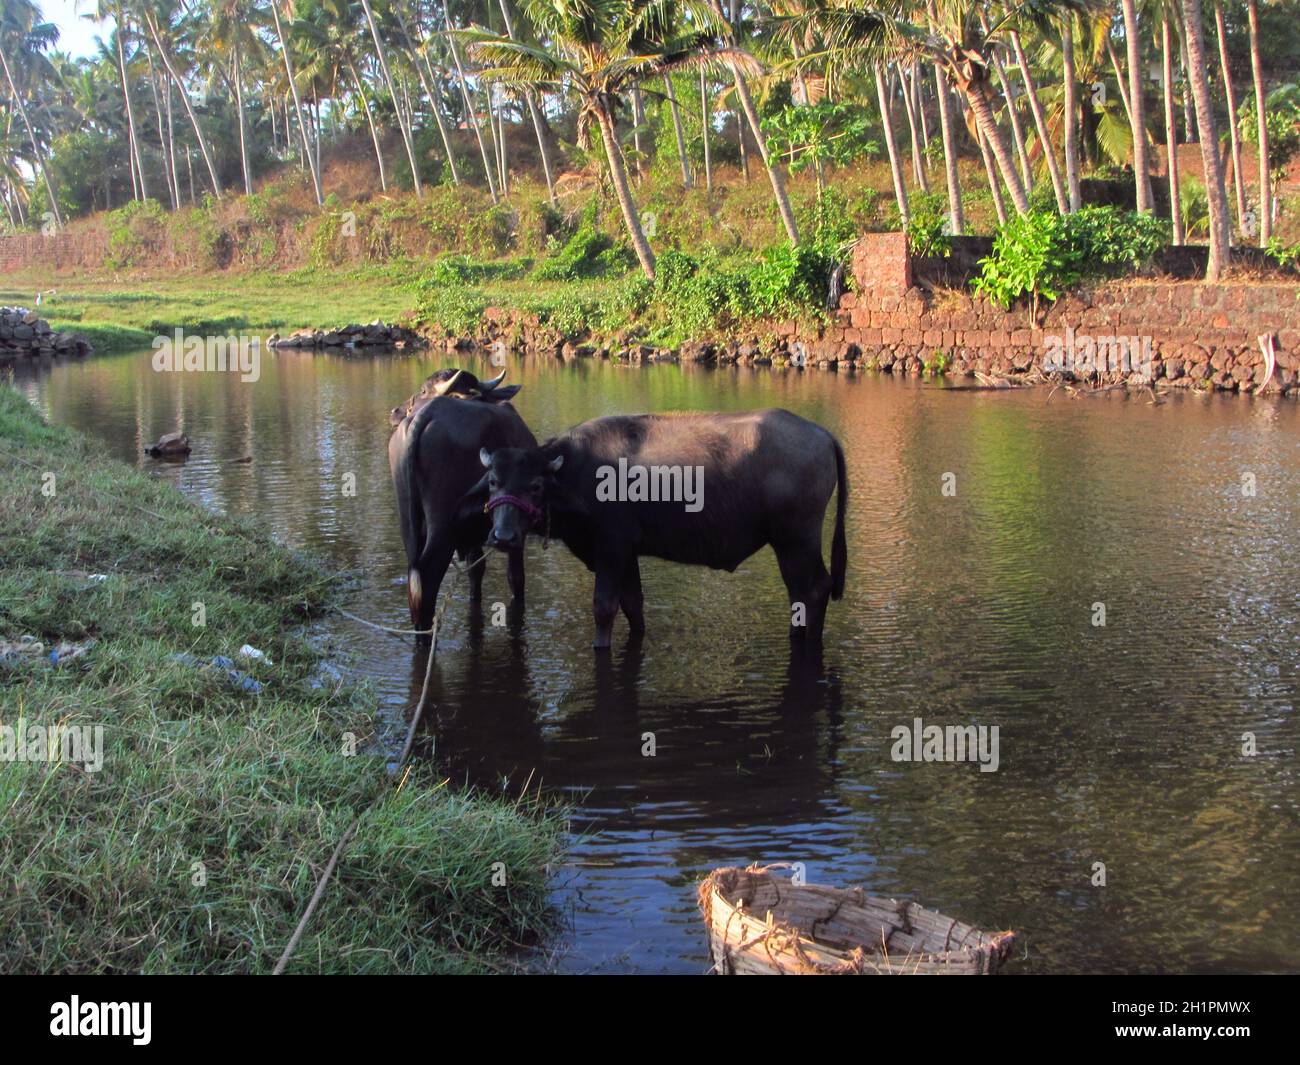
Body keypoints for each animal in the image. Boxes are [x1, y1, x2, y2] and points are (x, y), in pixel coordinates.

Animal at [389, 370, 535, 638]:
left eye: (422, 390)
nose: (395, 411)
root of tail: (427, 414)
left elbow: (476, 573)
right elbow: (516, 577)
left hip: (408, 520)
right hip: (442, 527)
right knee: (428, 580)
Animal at [476, 409, 847, 648]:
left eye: (535, 486)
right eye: (493, 482)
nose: (504, 537)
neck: (579, 472)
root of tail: (823, 434)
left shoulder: (611, 549)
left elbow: (604, 607)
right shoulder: (627, 553)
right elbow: (633, 604)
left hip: (798, 539)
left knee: (816, 588)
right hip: (787, 546)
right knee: (798, 592)